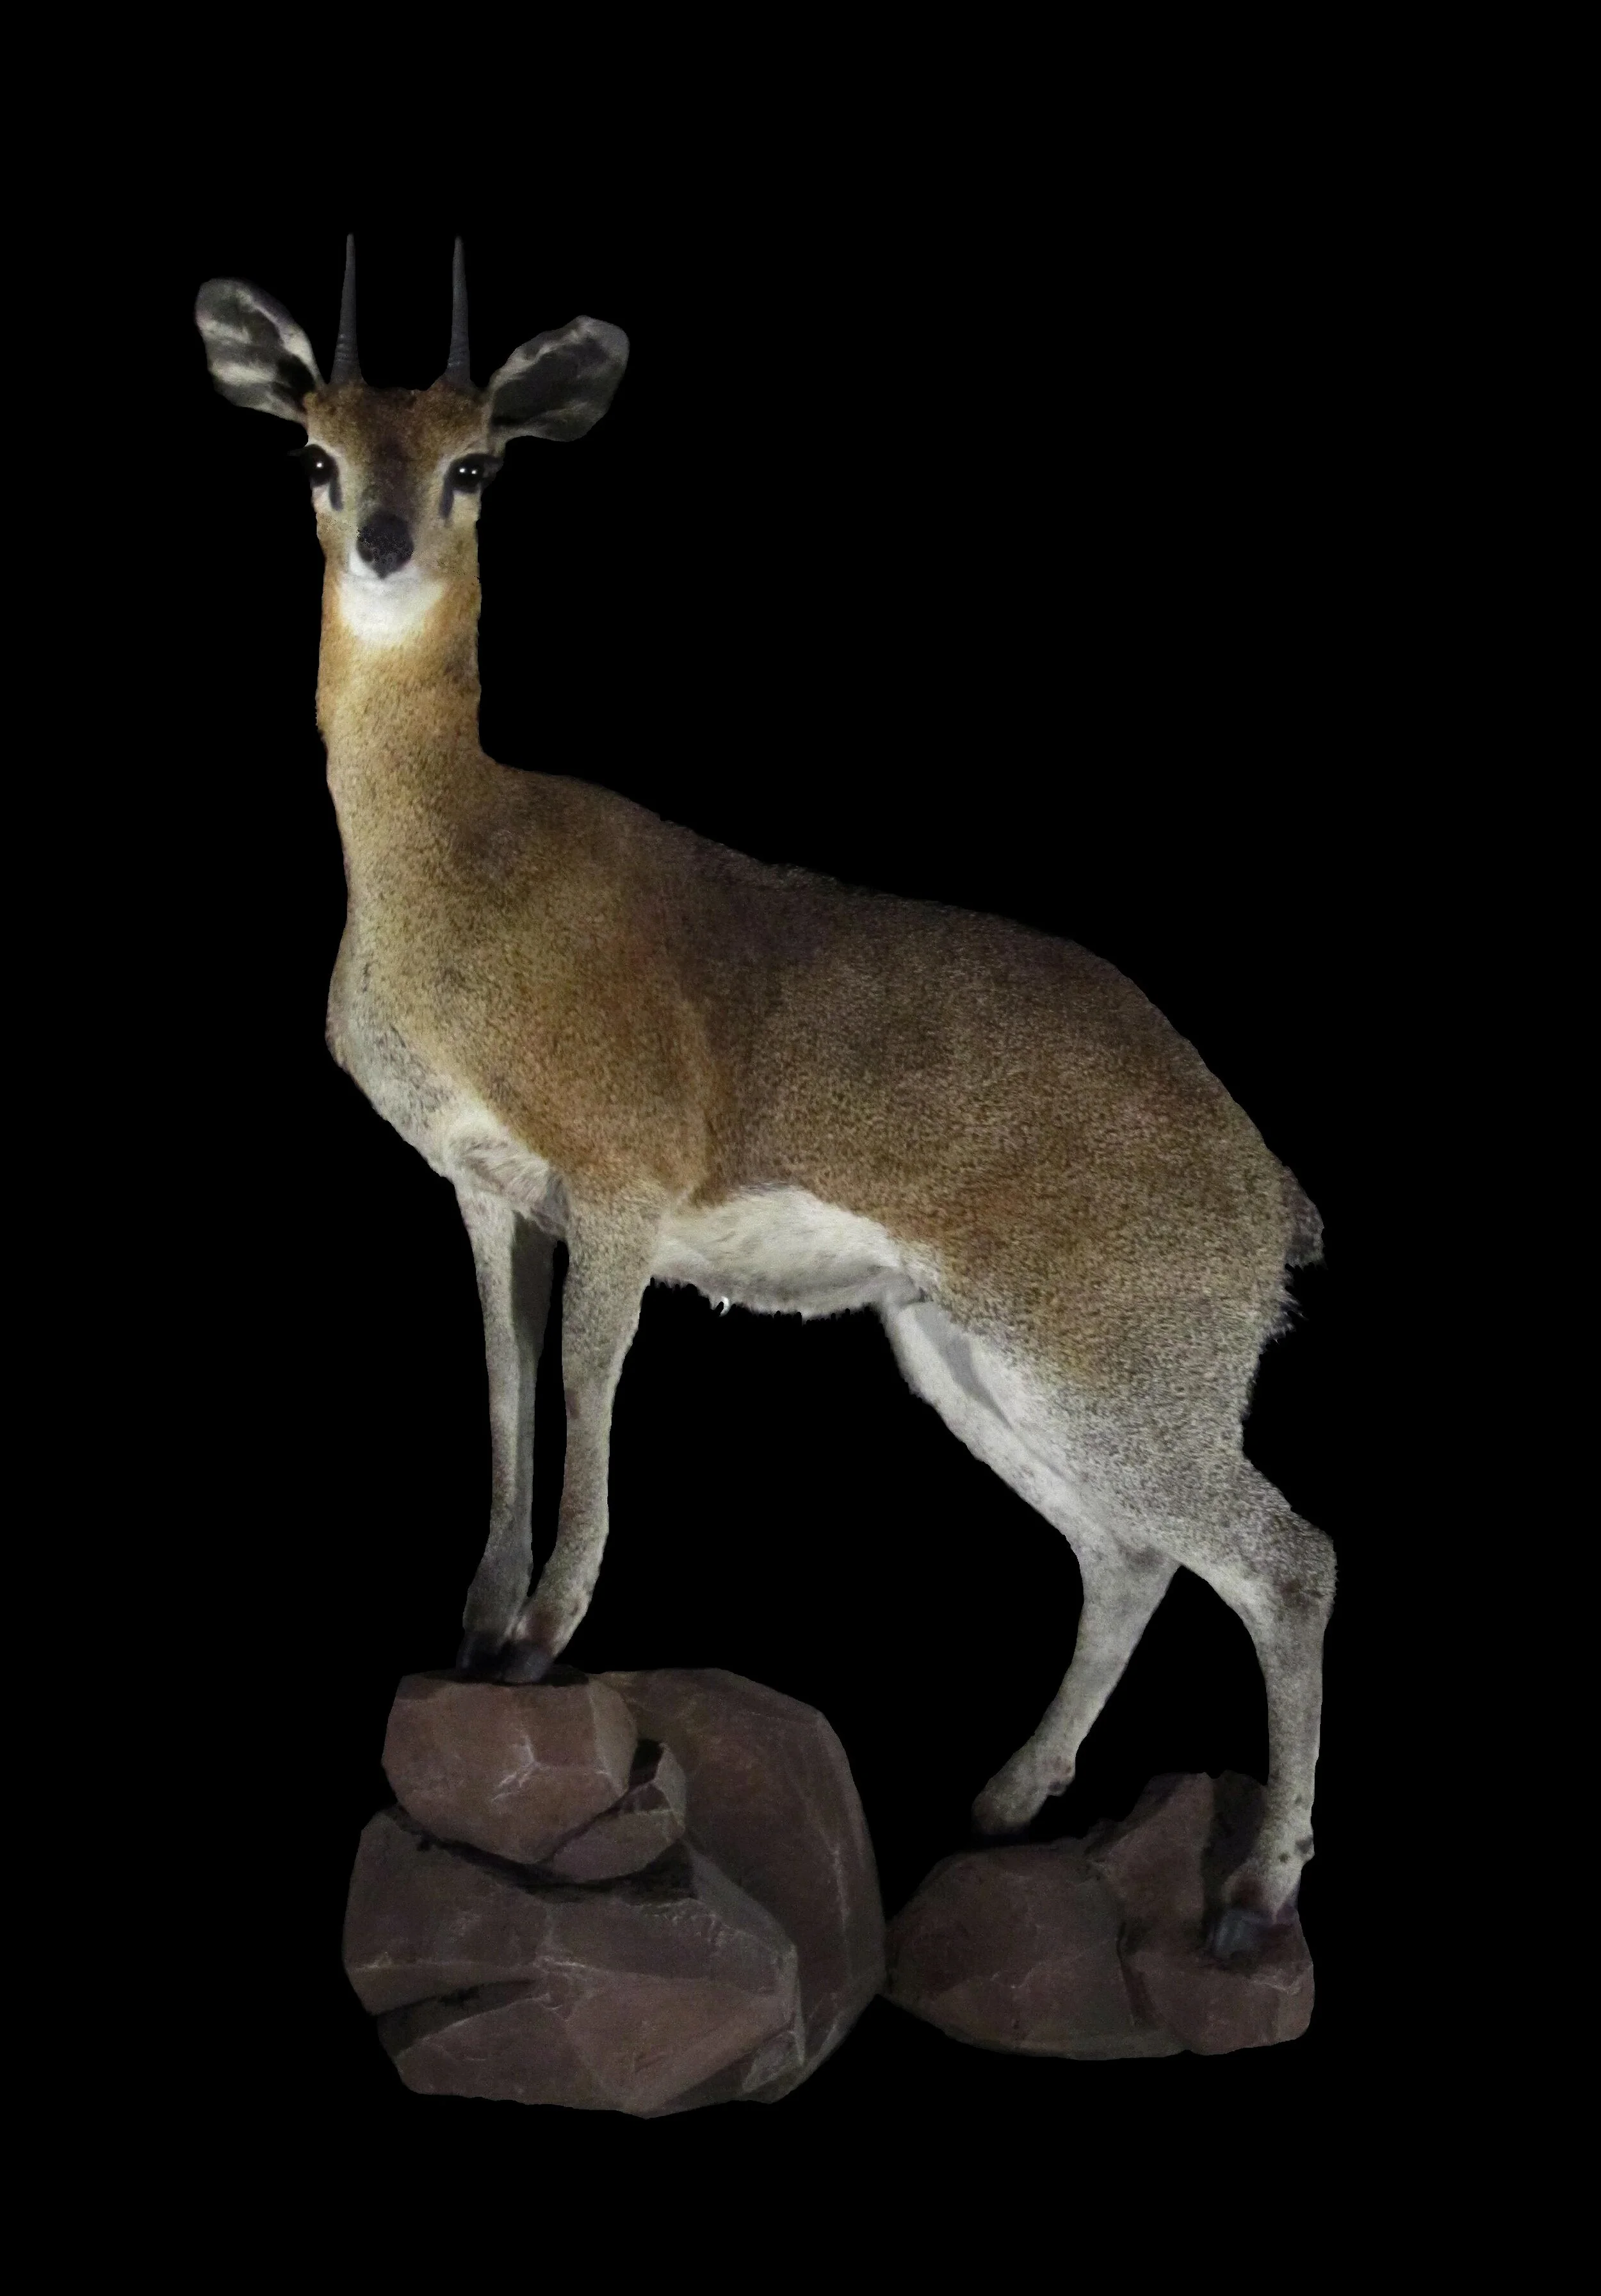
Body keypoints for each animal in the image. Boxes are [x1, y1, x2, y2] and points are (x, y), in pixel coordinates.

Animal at [196, 239, 1334, 1962]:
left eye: (475, 464)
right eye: (315, 456)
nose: (387, 544)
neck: (455, 867)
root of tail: (1273, 1195)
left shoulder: (618, 1198)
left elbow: (589, 1387)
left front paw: (539, 1636)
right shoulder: (486, 1192)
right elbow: (502, 1384)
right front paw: (474, 1623)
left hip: (1116, 1383)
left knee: (1284, 1558)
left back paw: (1252, 1905)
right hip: (963, 1361)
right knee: (1133, 1553)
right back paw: (1006, 1801)